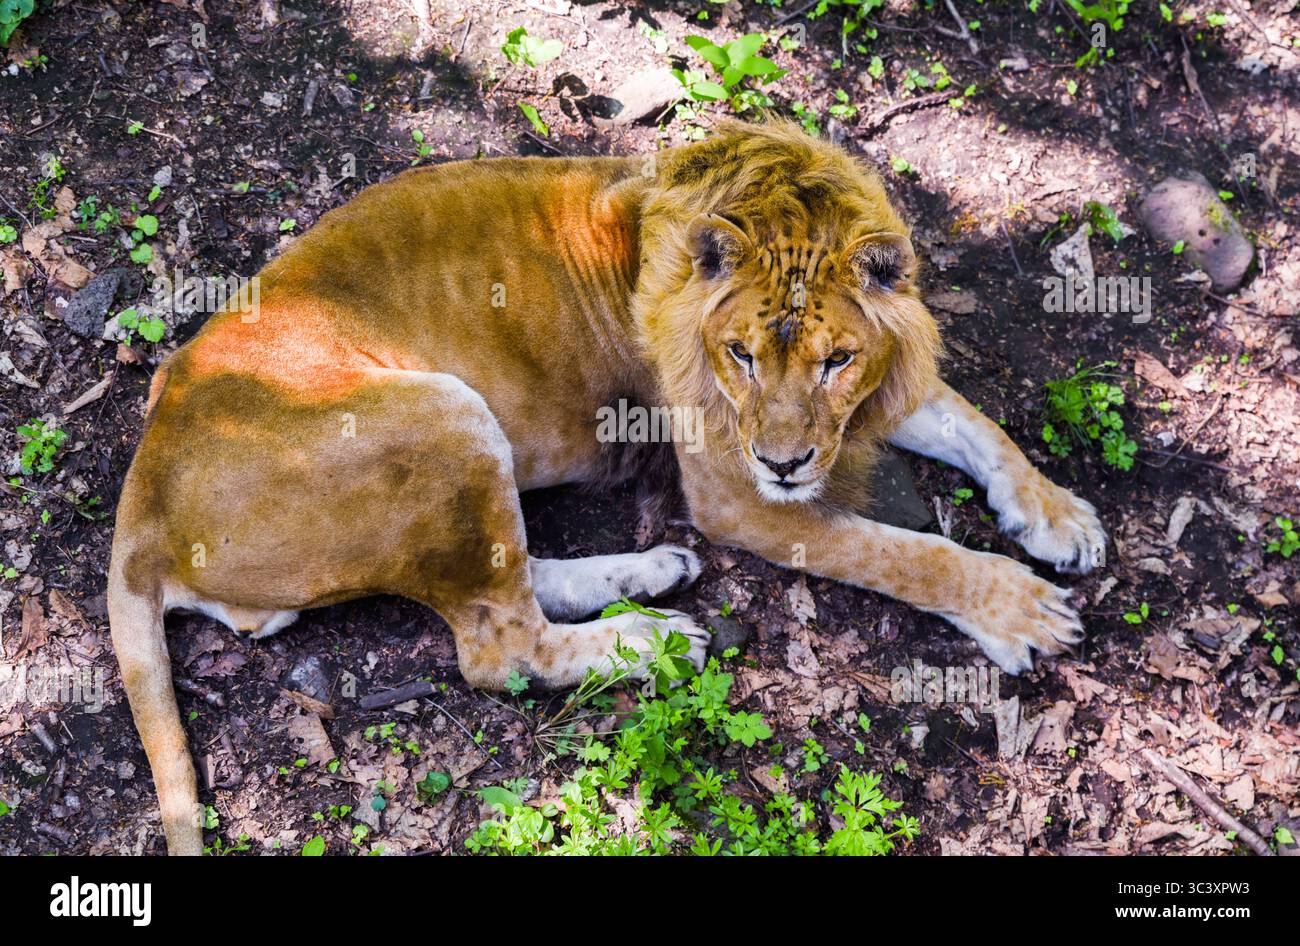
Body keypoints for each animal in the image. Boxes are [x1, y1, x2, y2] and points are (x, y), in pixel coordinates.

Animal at [108, 120, 1105, 854]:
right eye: (741, 355)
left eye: (837, 360)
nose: (786, 463)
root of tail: (143, 493)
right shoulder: (736, 494)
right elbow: (900, 552)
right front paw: (1017, 608)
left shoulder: (865, 405)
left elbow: (975, 423)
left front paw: (1058, 515)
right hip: (444, 412)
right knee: (499, 646)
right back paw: (658, 640)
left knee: (510, 584)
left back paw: (650, 575)